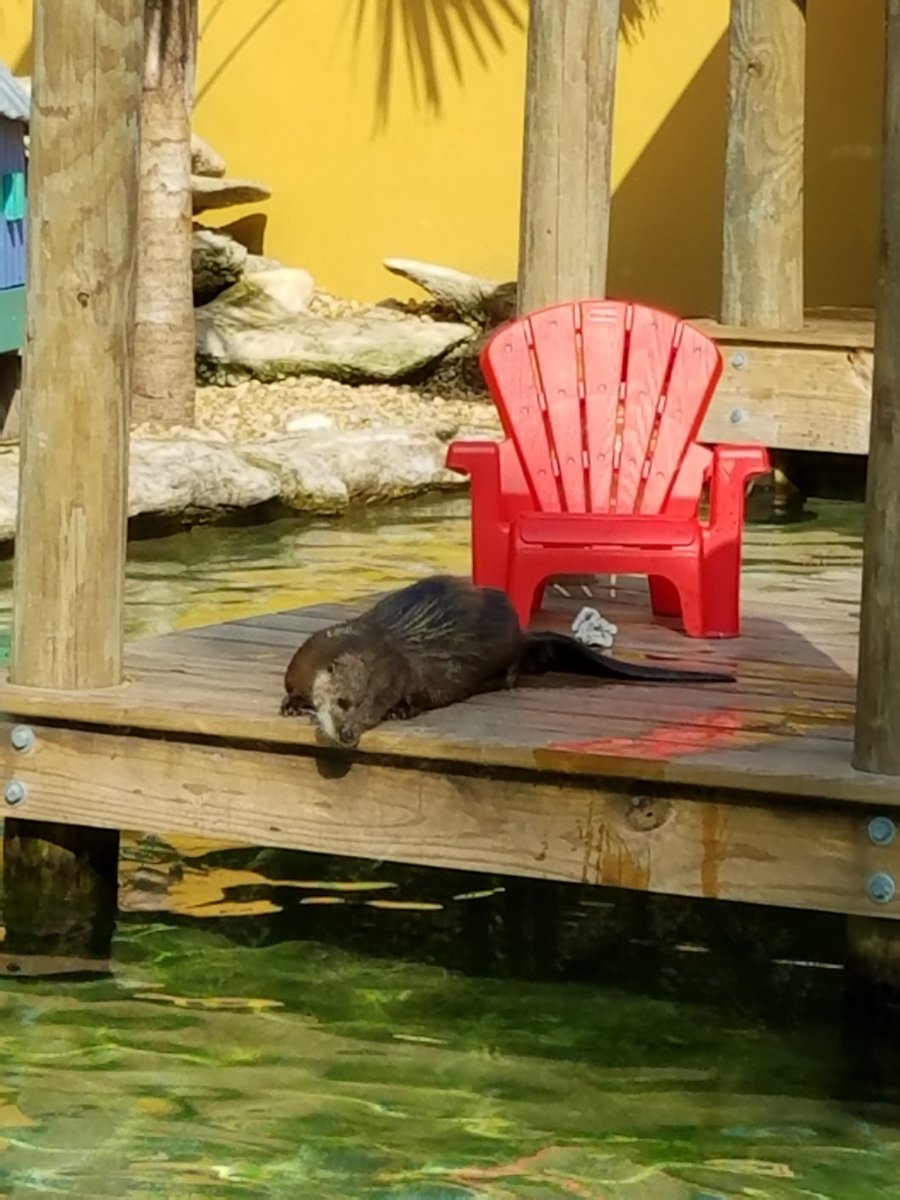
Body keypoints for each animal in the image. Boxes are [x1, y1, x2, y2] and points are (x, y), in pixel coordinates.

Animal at [280, 575, 734, 749]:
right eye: (344, 703)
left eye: (374, 707)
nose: (348, 735)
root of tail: (521, 633)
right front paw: (292, 705)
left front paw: (404, 711)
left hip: (503, 659)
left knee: (508, 677)